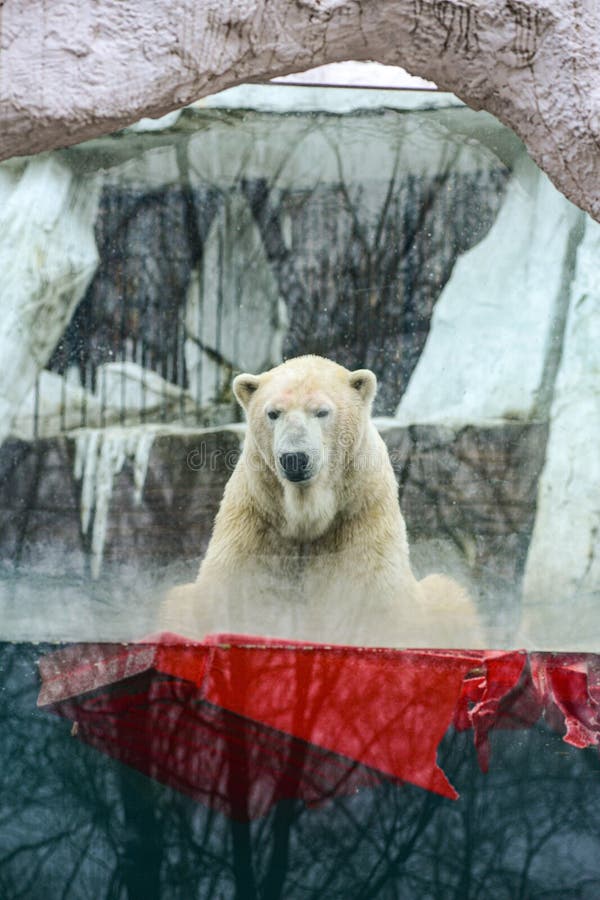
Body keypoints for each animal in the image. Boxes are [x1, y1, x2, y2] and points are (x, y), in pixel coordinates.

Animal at [161, 355, 483, 648]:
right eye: (273, 413)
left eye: (321, 411)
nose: (294, 457)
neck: (305, 514)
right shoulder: (256, 521)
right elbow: (237, 595)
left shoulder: (360, 517)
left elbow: (371, 600)